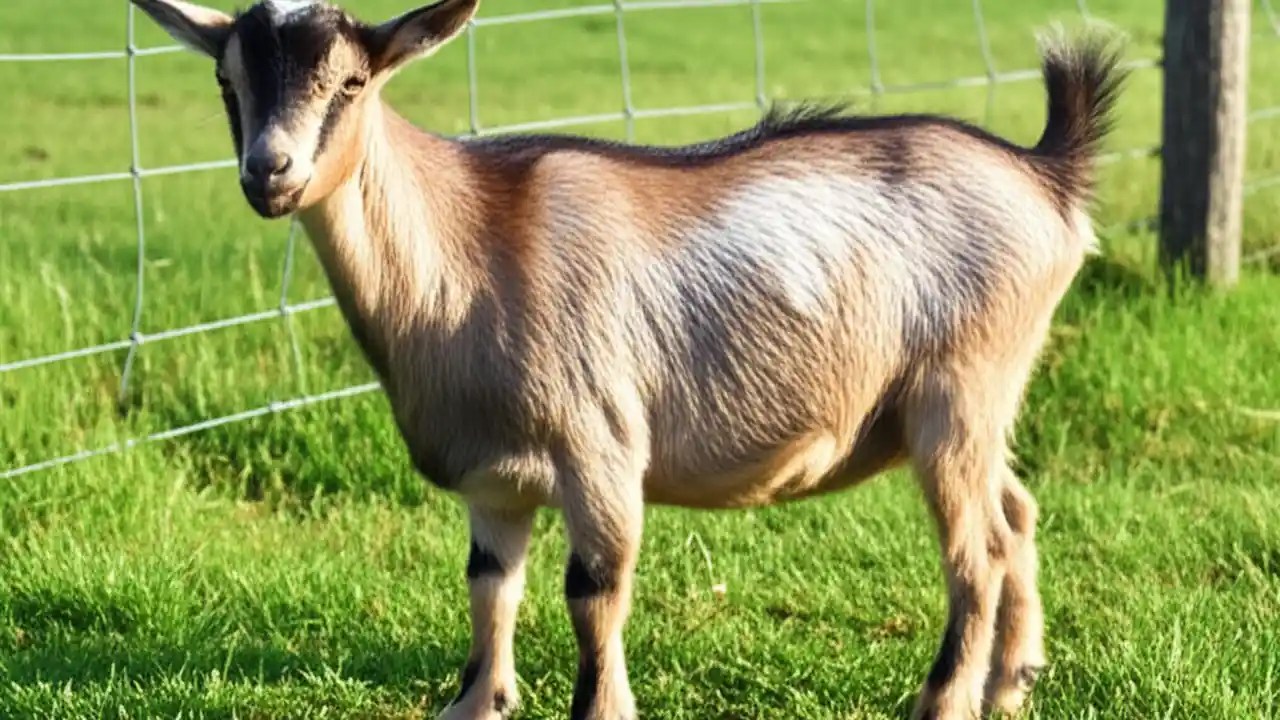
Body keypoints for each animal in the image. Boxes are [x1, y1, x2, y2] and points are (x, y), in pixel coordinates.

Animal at [132, 0, 1122, 717]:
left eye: (351, 80)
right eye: (226, 79)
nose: (271, 172)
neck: (468, 246)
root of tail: (1048, 175)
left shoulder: (598, 441)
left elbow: (593, 590)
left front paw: (600, 707)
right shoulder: (495, 478)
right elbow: (490, 588)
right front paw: (477, 703)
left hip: (959, 387)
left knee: (977, 551)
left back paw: (945, 700)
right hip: (981, 402)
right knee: (1018, 512)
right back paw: (1012, 683)